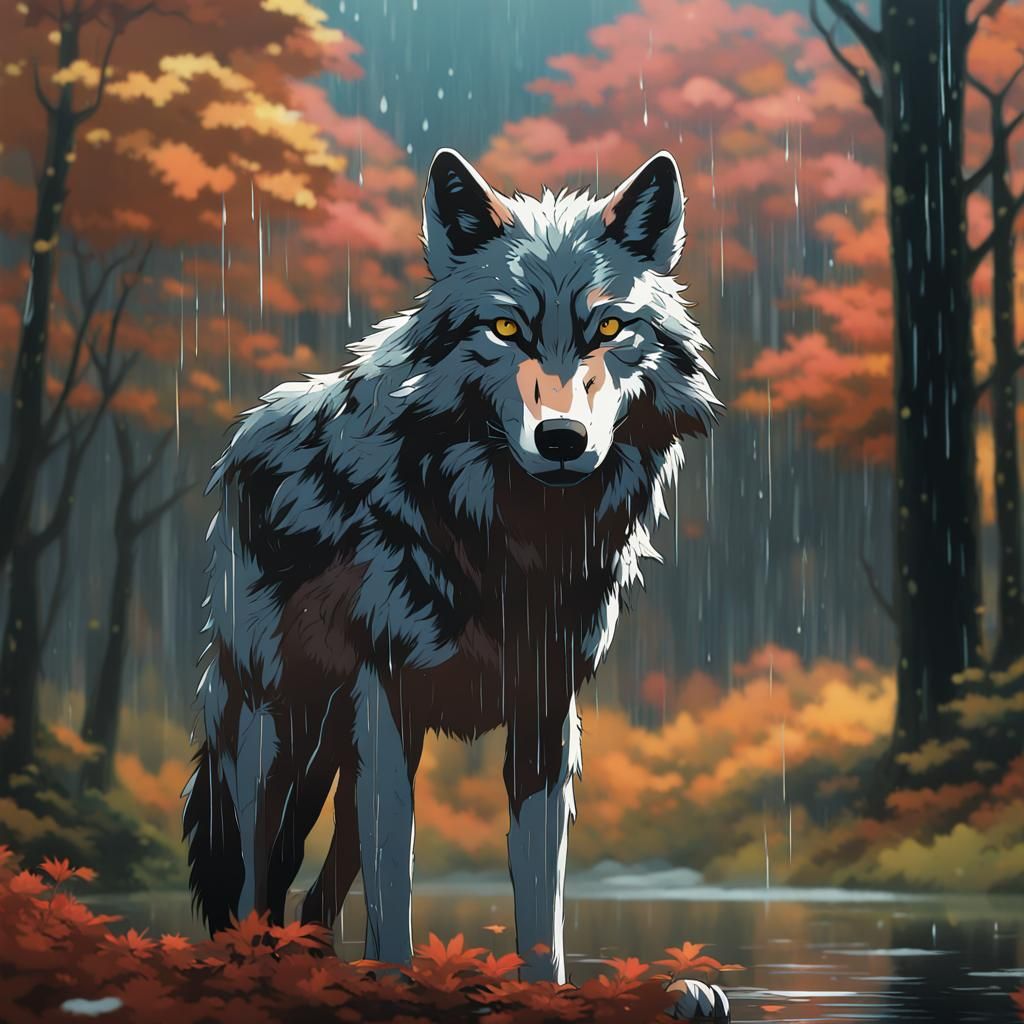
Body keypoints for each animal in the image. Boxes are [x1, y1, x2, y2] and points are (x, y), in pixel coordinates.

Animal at [182, 148, 719, 985]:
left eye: (607, 326)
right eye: (504, 327)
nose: (560, 438)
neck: (516, 548)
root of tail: (245, 430)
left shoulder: (544, 714)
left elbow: (540, 893)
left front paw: (544, 990)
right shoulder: (384, 704)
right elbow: (395, 883)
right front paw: (393, 982)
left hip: (335, 757)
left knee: (313, 893)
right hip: (279, 733)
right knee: (252, 880)